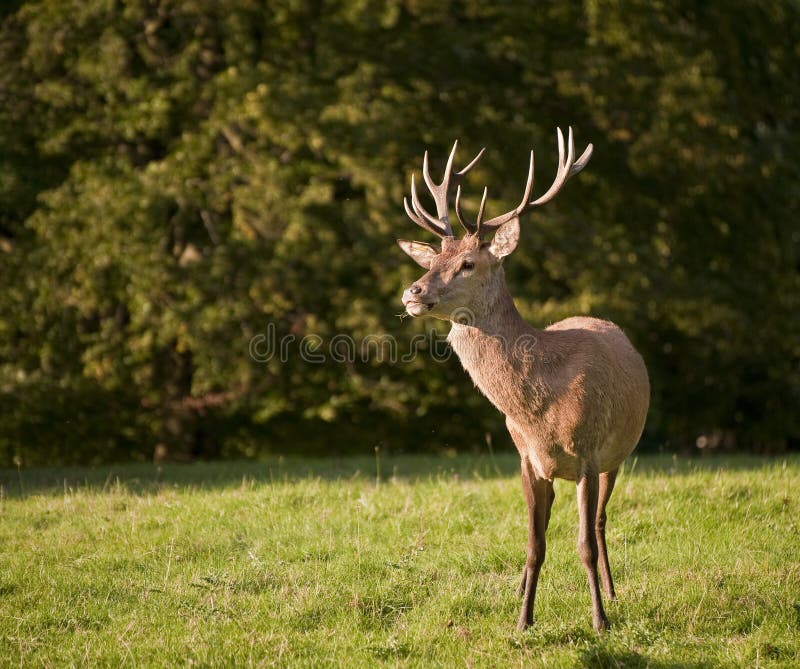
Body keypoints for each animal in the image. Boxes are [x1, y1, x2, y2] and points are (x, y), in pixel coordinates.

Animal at [396, 128, 650, 633]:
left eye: (468, 263)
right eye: (433, 258)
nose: (412, 292)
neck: (539, 409)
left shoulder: (588, 453)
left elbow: (583, 544)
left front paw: (599, 621)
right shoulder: (526, 458)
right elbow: (535, 544)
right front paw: (523, 620)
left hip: (619, 454)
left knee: (600, 524)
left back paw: (612, 593)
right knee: (549, 525)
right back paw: (521, 591)